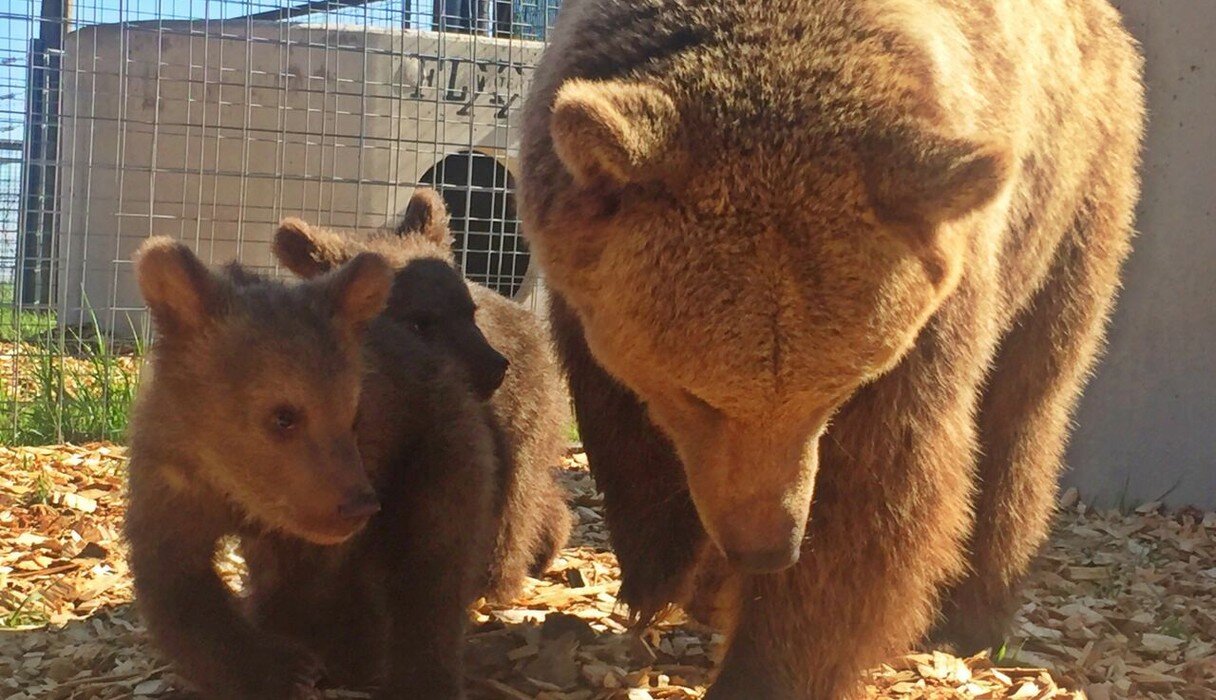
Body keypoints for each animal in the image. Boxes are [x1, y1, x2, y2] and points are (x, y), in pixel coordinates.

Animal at [125, 237, 499, 699]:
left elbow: (309, 582)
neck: (235, 486)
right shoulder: (171, 484)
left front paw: (312, 651)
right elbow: (178, 587)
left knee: (433, 570)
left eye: (353, 414)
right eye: (284, 415)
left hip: (439, 451)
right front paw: (278, 668)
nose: (357, 505)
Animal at [518, 0, 1145, 697]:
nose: (766, 547)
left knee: (1022, 405)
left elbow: (874, 489)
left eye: (836, 390)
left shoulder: (932, 311)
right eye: (696, 394)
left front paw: (765, 664)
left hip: (1073, 205)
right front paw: (667, 569)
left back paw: (973, 613)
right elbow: (617, 414)